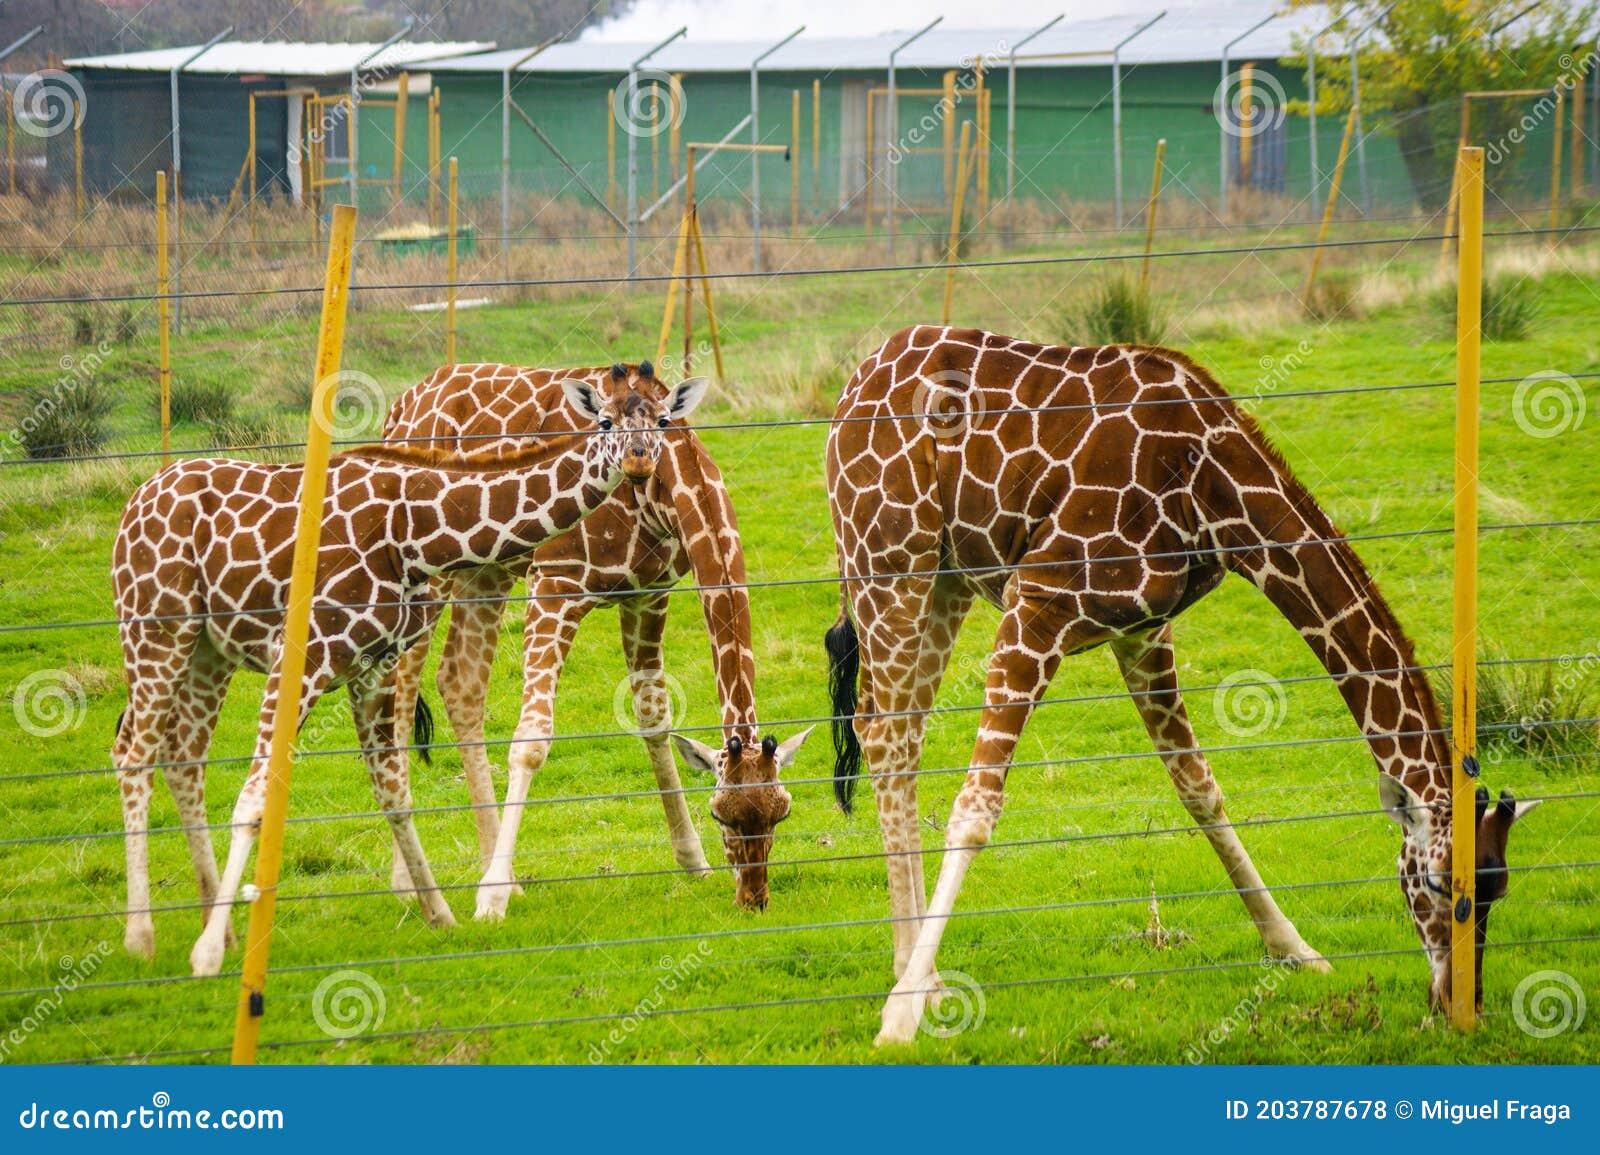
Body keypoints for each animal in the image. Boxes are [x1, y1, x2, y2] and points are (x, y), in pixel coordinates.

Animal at [112, 367, 707, 976]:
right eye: (605, 421)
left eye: (663, 420)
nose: (638, 460)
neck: (412, 529)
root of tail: (136, 501)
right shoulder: (308, 653)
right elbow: (257, 800)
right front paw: (205, 954)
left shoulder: (370, 663)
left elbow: (392, 787)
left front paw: (438, 912)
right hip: (154, 630)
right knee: (134, 754)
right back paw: (144, 936)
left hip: (208, 651)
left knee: (182, 756)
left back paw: (220, 925)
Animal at [382, 360, 810, 918]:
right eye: (721, 813)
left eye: (781, 812)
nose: (753, 898)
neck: (659, 497)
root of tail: (399, 408)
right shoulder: (555, 583)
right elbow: (531, 742)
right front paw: (490, 899)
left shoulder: (648, 592)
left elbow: (653, 718)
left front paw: (693, 861)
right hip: (425, 577)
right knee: (402, 690)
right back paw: (410, 884)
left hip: (486, 572)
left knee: (460, 683)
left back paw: (501, 873)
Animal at [823, 326, 1537, 1044]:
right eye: (1442, 885)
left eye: (1499, 887)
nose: (1457, 1002)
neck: (1212, 492)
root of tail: (855, 381)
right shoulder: (1040, 600)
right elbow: (975, 810)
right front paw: (899, 1016)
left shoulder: (1142, 628)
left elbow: (1198, 786)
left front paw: (1296, 950)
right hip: (890, 559)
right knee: (885, 737)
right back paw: (912, 978)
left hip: (944, 576)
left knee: (901, 737)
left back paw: (924, 971)